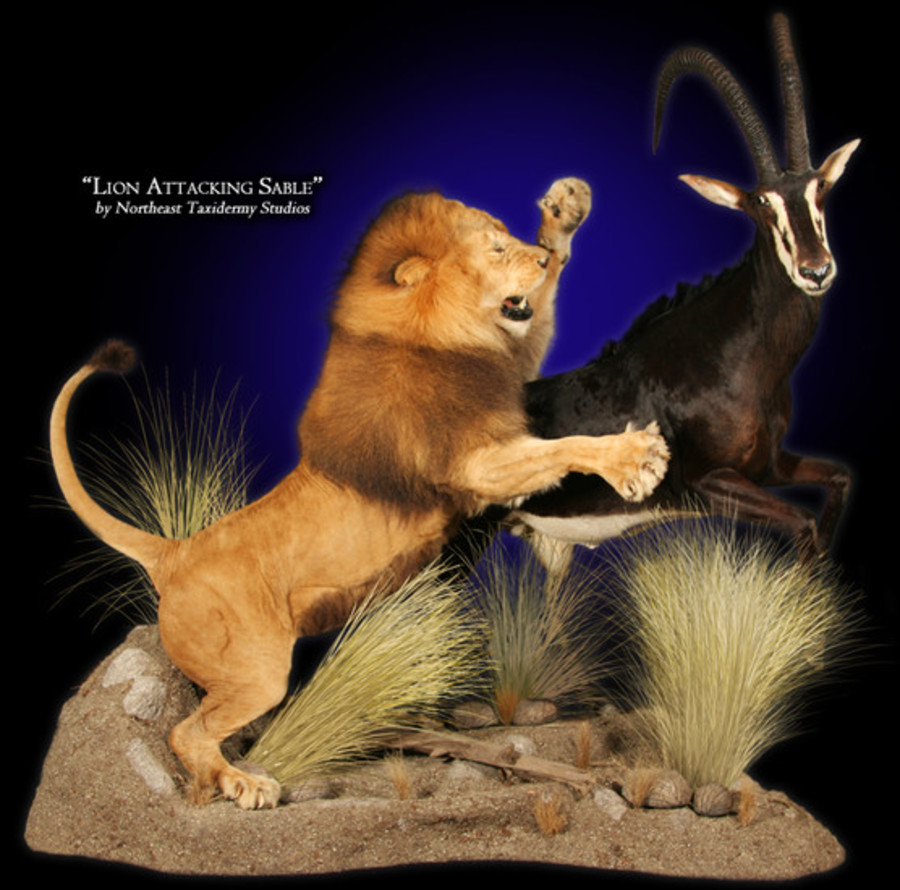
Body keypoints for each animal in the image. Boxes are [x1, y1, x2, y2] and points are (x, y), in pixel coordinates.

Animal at [49, 179, 669, 809]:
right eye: (495, 249)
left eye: (511, 237)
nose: (538, 260)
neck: (438, 332)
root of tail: (175, 552)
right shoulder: (472, 466)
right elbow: (559, 447)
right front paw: (635, 458)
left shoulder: (510, 367)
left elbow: (541, 324)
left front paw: (563, 216)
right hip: (258, 671)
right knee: (187, 731)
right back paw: (245, 784)